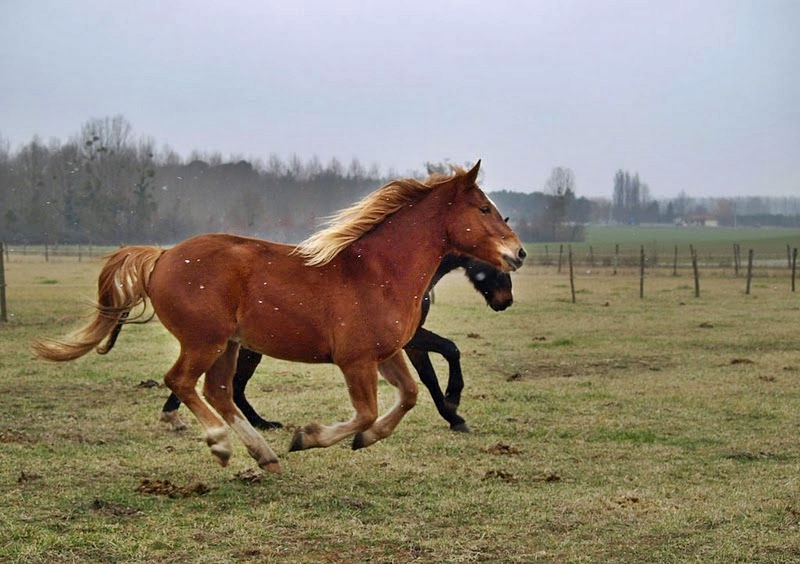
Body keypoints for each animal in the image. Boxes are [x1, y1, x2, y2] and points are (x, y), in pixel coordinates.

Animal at [159, 253, 513, 433]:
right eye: (497, 264)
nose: (506, 301)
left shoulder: (406, 343)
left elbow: (428, 375)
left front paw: (452, 416)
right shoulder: (411, 339)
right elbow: (449, 352)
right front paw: (454, 407)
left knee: (232, 388)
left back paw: (257, 423)